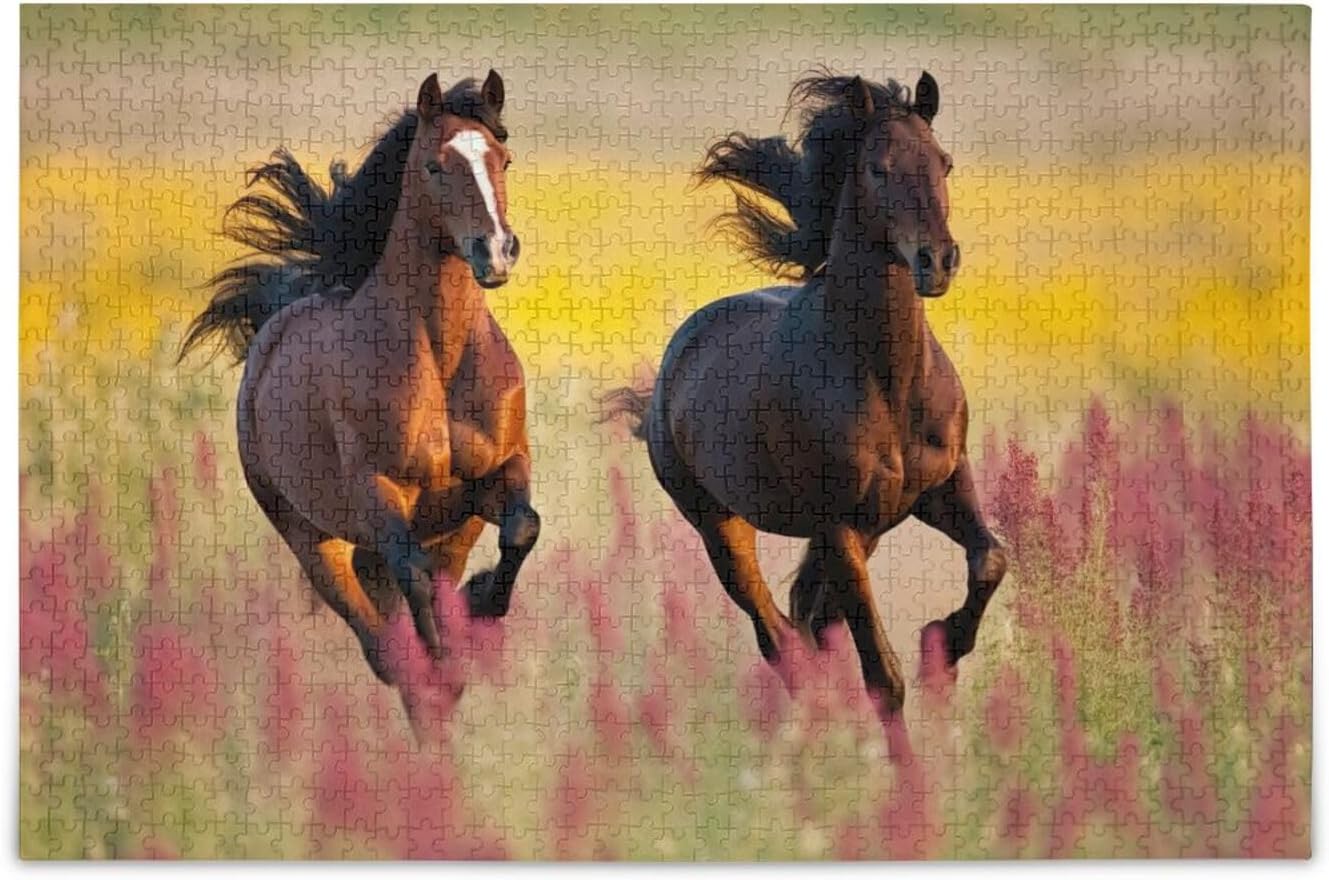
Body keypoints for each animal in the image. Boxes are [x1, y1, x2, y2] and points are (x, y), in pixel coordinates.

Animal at [180, 71, 541, 712]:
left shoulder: (500, 471)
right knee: (382, 644)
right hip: (318, 546)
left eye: (504, 158)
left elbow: (523, 528)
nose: (495, 252)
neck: (439, 357)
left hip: (450, 533)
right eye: (434, 165)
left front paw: (479, 604)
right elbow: (412, 581)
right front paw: (441, 650)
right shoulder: (379, 492)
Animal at [608, 72, 1006, 717]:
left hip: (865, 532)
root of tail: (674, 361)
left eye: (944, 163)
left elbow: (990, 557)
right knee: (779, 636)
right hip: (722, 527)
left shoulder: (941, 488)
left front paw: (941, 648)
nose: (937, 261)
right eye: (877, 167)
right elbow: (882, 676)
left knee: (810, 623)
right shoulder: (838, 524)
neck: (885, 379)